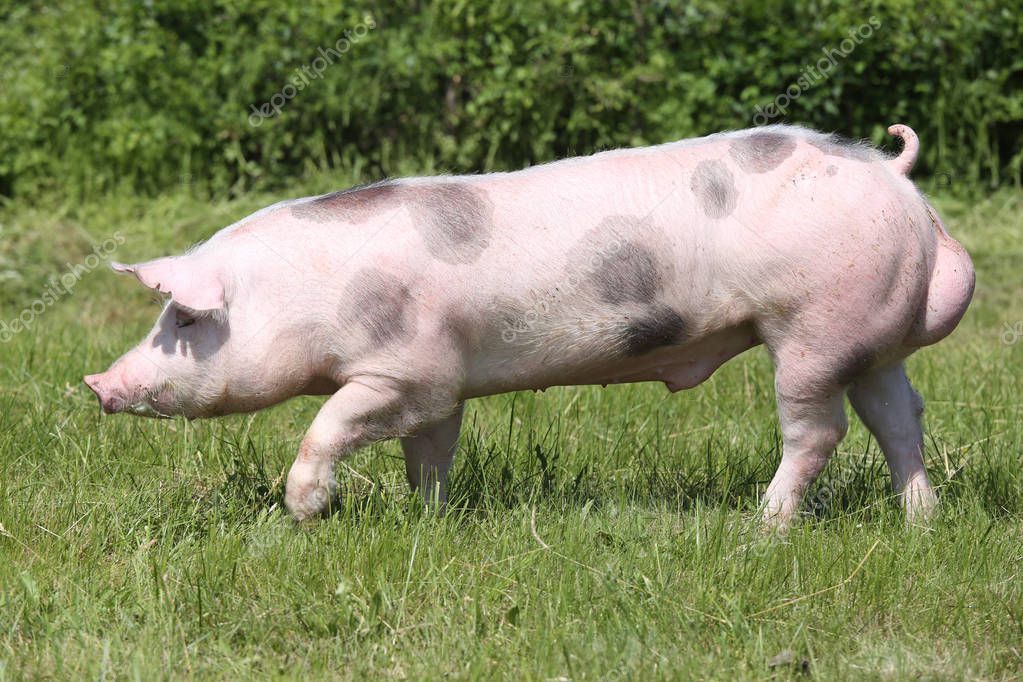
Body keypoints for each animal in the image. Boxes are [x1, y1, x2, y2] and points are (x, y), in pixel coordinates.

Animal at [84, 123, 974, 527]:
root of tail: (893, 176)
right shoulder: (440, 383)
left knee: (819, 430)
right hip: (869, 335)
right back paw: (921, 521)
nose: (96, 382)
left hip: (812, 326)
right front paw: (430, 518)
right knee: (899, 418)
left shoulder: (401, 371)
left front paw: (303, 511)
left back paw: (765, 524)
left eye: (185, 316)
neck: (305, 294)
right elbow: (430, 452)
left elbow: (330, 423)